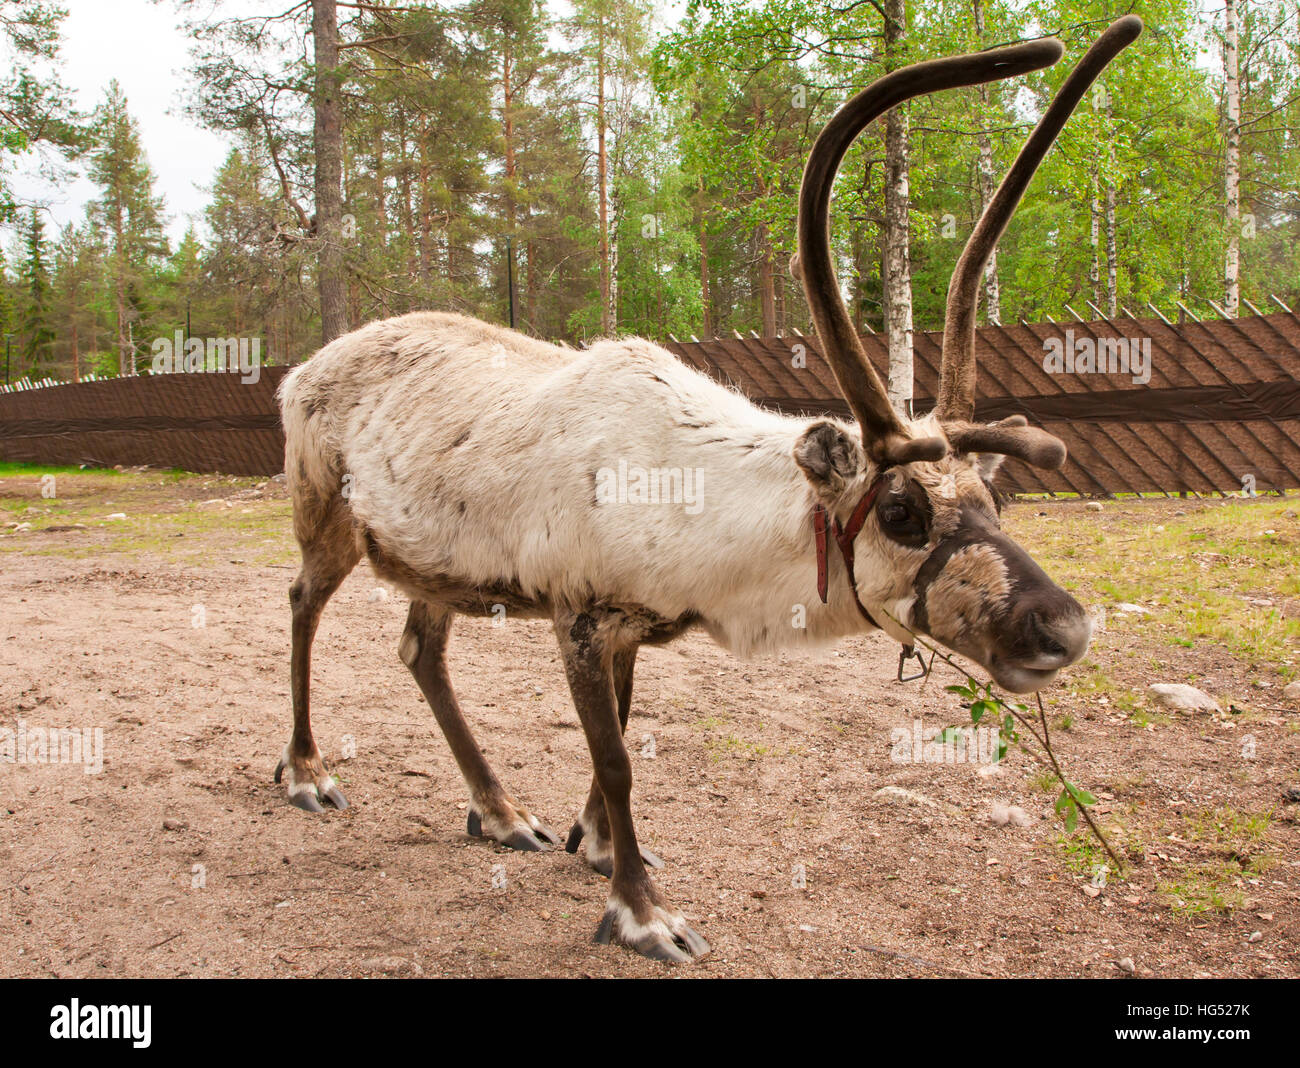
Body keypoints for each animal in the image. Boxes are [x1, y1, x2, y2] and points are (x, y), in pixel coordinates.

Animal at [274, 17, 1141, 963]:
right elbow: (615, 758)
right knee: (303, 604)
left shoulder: (628, 626)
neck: (697, 498)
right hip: (324, 519)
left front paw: (598, 844)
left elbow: (618, 735)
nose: (1063, 627)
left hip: (429, 563)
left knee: (419, 652)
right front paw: (641, 912)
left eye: (994, 503)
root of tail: (299, 371)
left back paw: (500, 813)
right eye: (902, 511)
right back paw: (307, 773)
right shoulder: (579, 617)